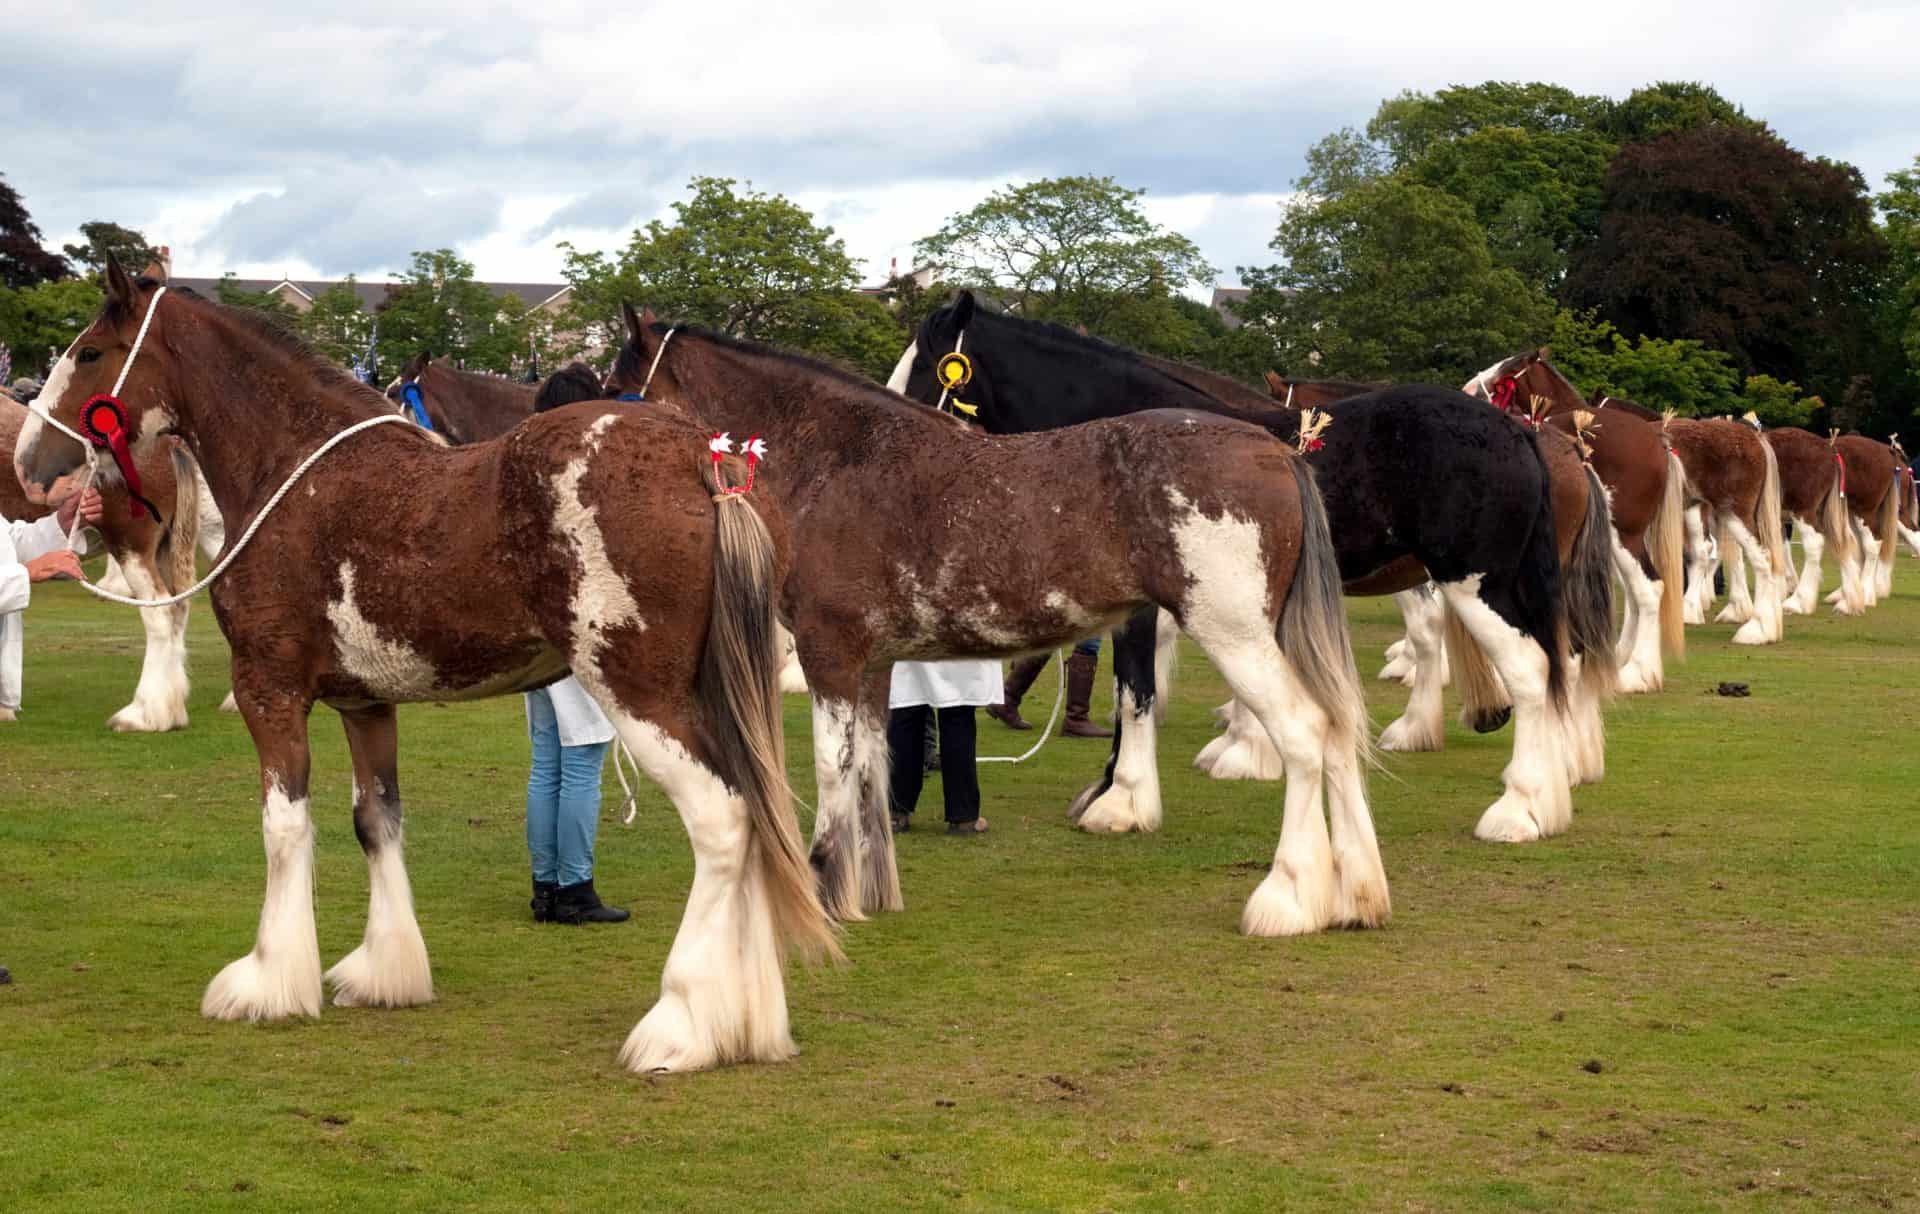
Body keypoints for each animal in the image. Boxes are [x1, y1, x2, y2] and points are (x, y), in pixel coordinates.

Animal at [606, 304, 1386, 936]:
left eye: (614, 389)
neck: (836, 462)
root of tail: (1275, 450)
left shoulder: (832, 654)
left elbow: (833, 769)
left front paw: (828, 889)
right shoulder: (873, 666)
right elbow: (873, 770)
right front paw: (870, 890)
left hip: (1237, 638)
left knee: (1305, 734)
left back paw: (1287, 899)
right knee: (1338, 730)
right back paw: (1357, 896)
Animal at [898, 294, 1616, 844]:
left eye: (931, 369)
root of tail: (1523, 434)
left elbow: (1135, 688)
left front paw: (1123, 798)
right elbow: (1134, 687)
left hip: (1479, 584)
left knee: (1532, 672)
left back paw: (1518, 809)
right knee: (1559, 664)